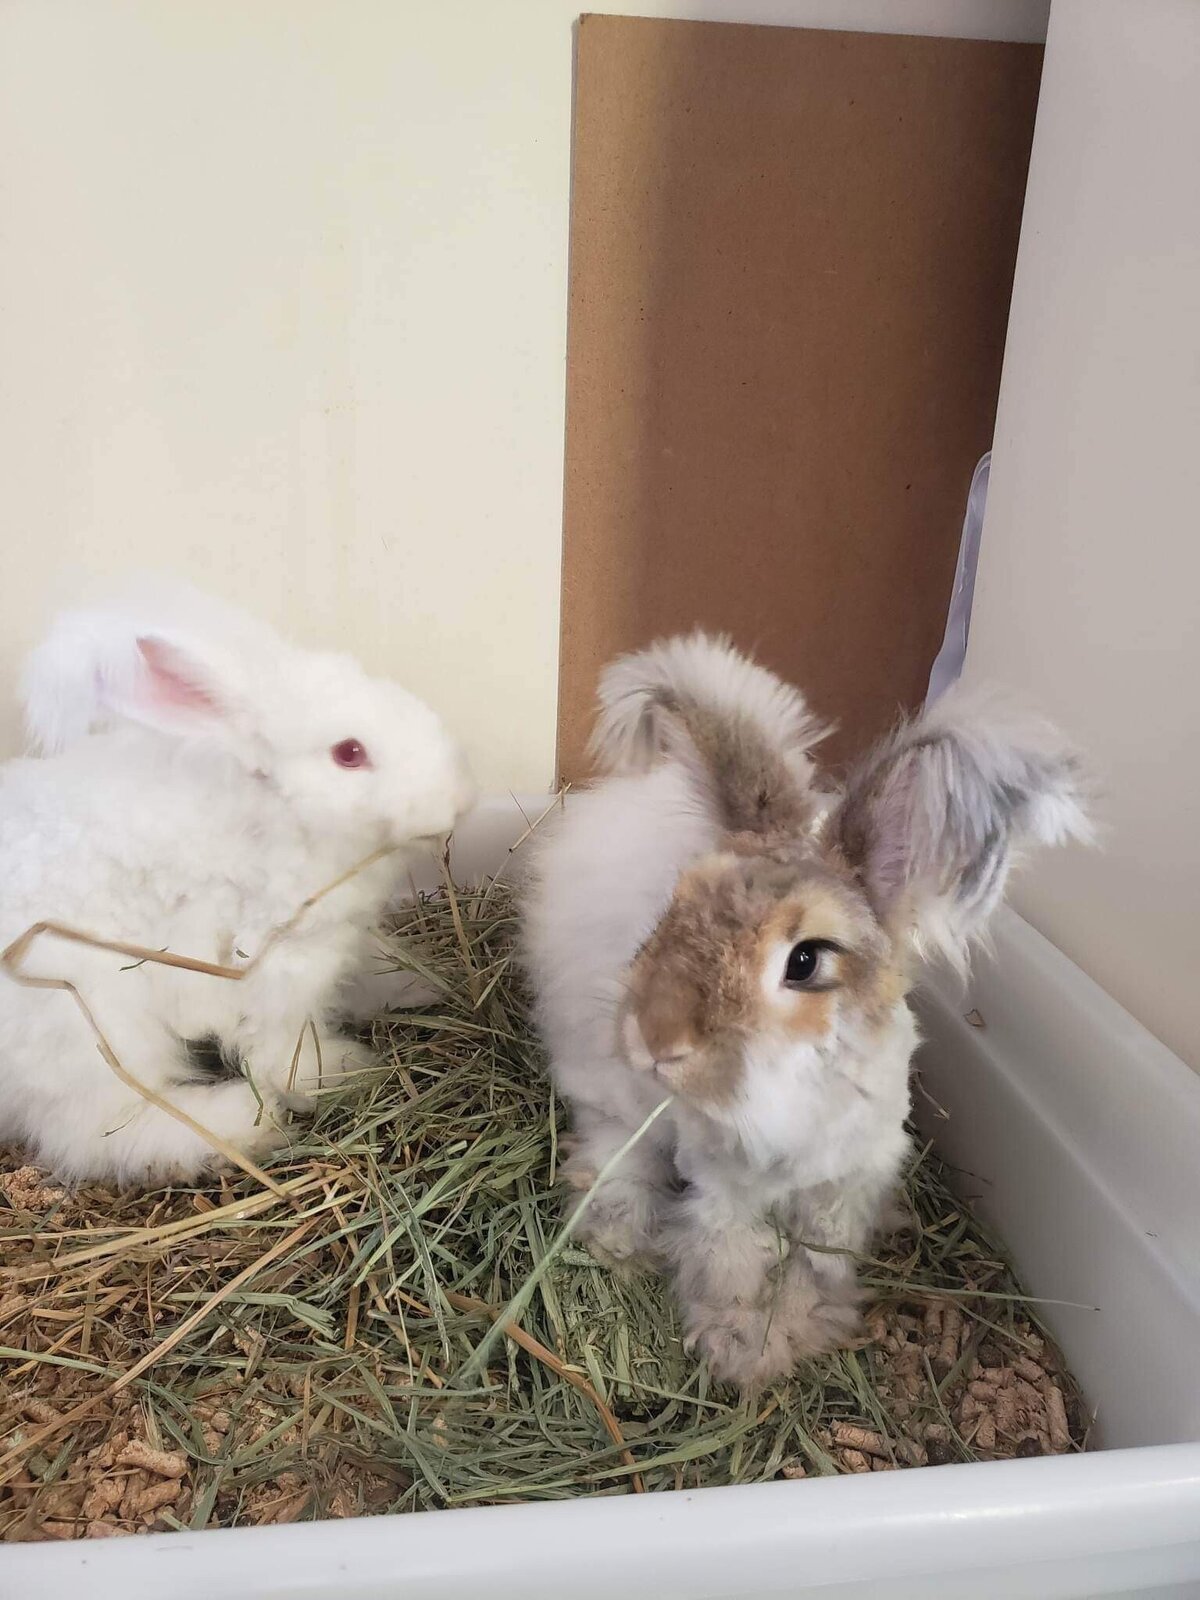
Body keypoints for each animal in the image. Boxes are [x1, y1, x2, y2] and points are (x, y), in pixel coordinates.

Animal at [0, 576, 476, 1187]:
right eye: (349, 753)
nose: (461, 798)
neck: (277, 813)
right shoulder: (273, 968)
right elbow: (283, 1046)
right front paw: (343, 1070)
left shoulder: (340, 944)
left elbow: (368, 975)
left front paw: (423, 983)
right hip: (90, 1027)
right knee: (96, 1133)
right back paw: (243, 1124)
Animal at [520, 633, 1091, 1389]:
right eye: (676, 906)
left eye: (806, 962)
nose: (654, 1037)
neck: (795, 1092)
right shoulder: (725, 1188)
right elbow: (732, 1260)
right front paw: (739, 1350)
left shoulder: (845, 1190)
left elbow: (815, 1269)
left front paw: (792, 1331)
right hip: (605, 1085)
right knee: (612, 1152)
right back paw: (618, 1236)